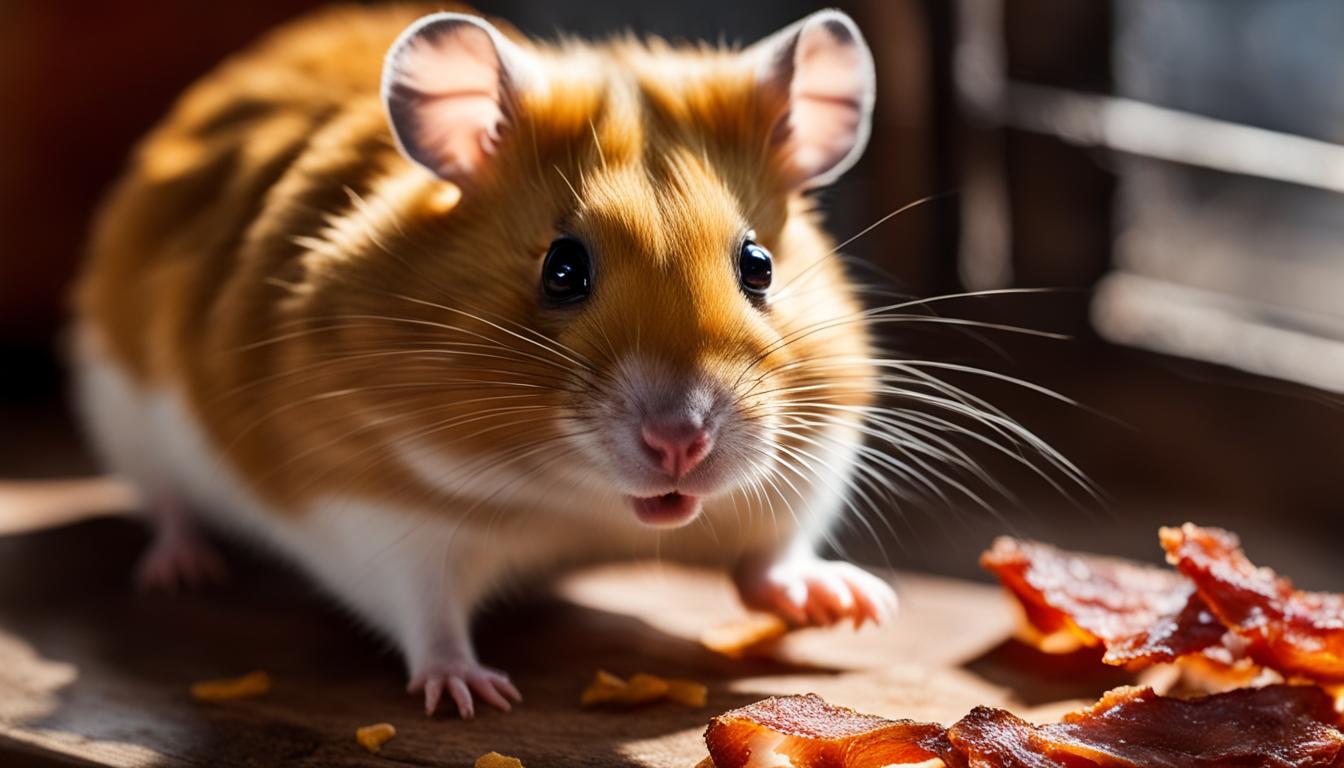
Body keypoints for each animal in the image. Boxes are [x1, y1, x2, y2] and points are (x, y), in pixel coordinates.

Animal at [71, 3, 895, 718]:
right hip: (123, 414)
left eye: (759, 265)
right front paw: (474, 694)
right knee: (165, 504)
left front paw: (860, 603)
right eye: (563, 270)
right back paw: (182, 570)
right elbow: (427, 613)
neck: (587, 504)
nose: (679, 445)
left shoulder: (806, 471)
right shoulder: (369, 513)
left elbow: (771, 560)